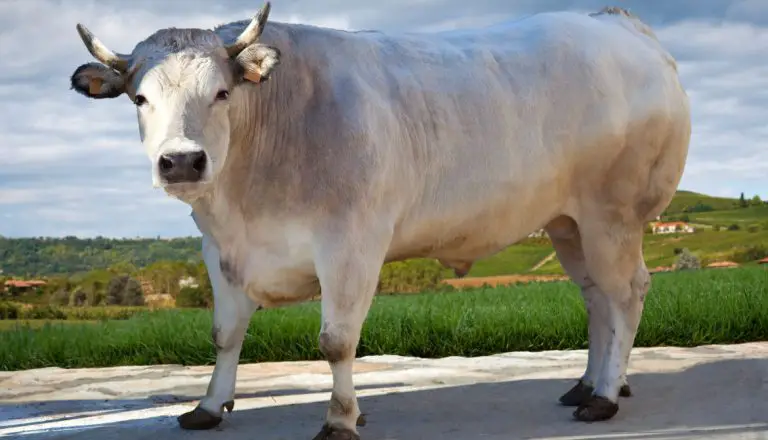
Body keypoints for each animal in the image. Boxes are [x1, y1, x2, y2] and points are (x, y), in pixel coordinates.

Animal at [69, 3, 691, 439]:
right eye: (139, 99)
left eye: (222, 92)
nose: (181, 161)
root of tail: (617, 22)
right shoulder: (220, 251)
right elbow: (224, 334)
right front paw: (207, 406)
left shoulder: (350, 243)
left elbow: (336, 341)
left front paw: (341, 419)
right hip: (568, 223)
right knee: (596, 298)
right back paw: (586, 384)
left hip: (612, 214)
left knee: (627, 292)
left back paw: (604, 396)